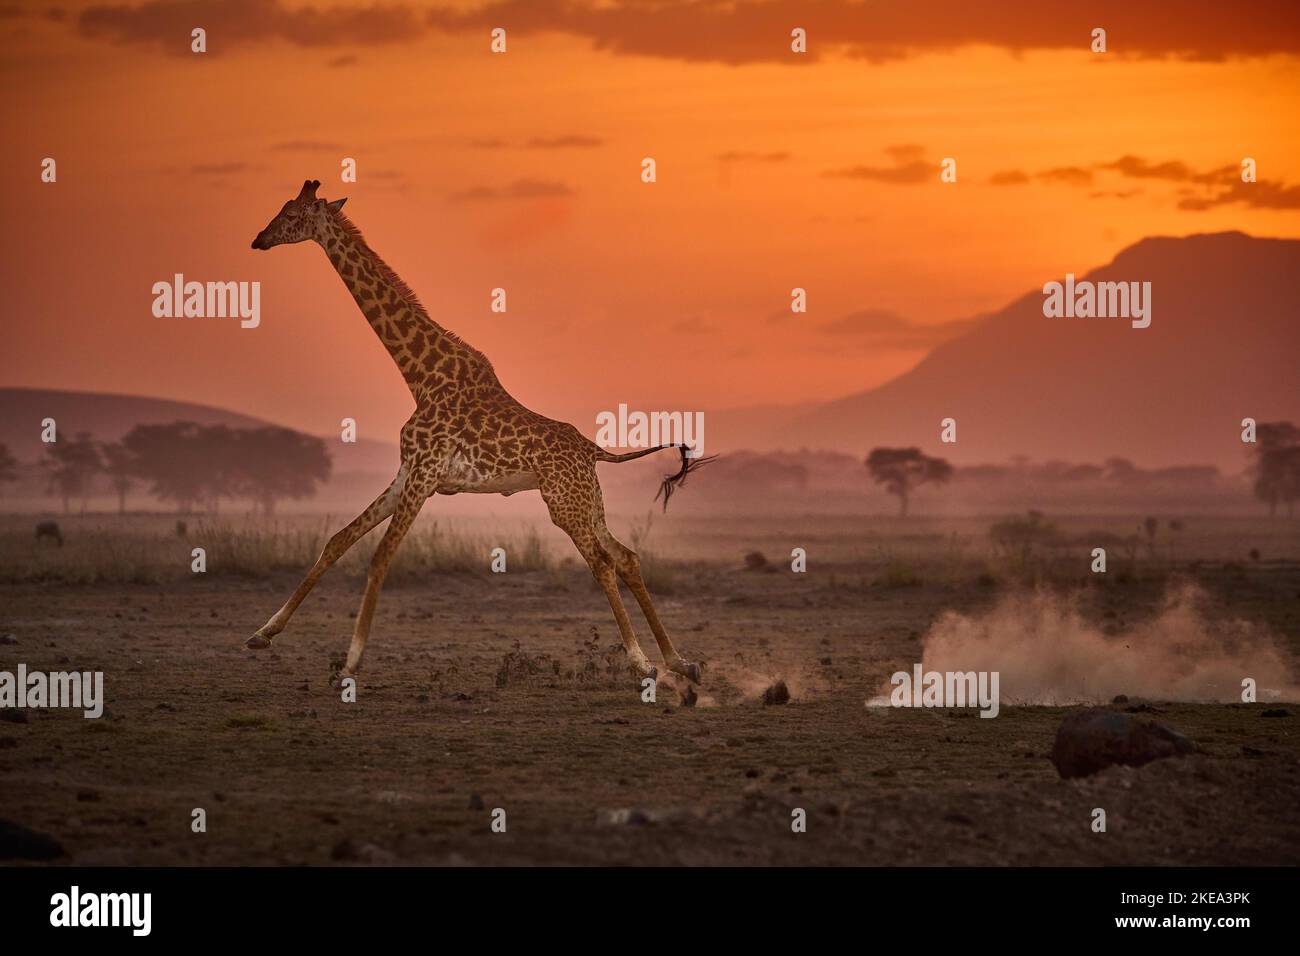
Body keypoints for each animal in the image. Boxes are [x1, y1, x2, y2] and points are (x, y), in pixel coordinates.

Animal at [247, 180, 712, 686]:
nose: (259, 240)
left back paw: (643, 662)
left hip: (565, 503)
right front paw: (262, 634)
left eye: (292, 215)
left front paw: (350, 663)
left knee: (604, 563)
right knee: (626, 557)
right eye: (280, 209)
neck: (420, 375)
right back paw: (679, 661)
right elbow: (336, 542)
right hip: (587, 500)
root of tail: (595, 449)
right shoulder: (407, 474)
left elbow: (379, 557)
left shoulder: (425, 475)